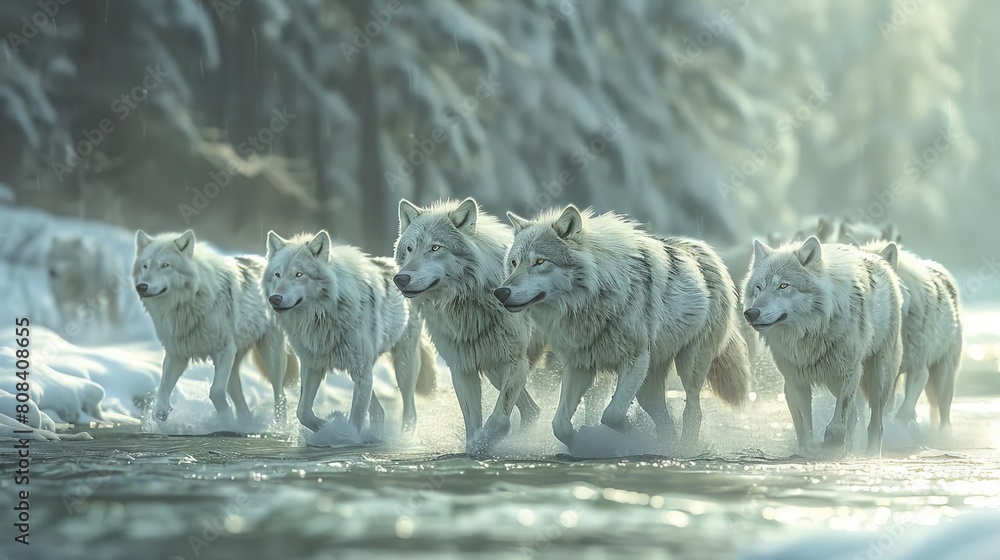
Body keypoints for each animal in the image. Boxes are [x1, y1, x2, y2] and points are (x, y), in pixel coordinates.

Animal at [133, 230, 297, 424]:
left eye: (165, 265)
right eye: (145, 266)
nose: (141, 287)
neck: (186, 304)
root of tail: (263, 261)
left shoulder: (224, 350)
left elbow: (216, 392)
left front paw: (225, 417)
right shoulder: (177, 353)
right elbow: (163, 389)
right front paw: (161, 412)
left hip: (271, 355)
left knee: (280, 396)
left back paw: (278, 426)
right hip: (235, 360)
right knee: (236, 393)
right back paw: (244, 423)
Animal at [263, 230, 437, 437]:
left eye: (299, 274)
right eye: (277, 275)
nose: (275, 299)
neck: (323, 316)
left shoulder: (361, 370)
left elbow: (355, 421)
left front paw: (342, 434)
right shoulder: (312, 364)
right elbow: (303, 412)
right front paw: (327, 427)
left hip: (403, 366)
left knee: (410, 410)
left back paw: (404, 438)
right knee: (379, 410)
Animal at [393, 198, 544, 453]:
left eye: (435, 248)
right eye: (410, 249)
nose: (400, 279)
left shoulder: (515, 361)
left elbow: (499, 421)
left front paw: (482, 445)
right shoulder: (463, 368)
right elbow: (473, 425)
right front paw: (474, 448)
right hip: (494, 371)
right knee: (533, 411)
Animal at [496, 205, 751, 450]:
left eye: (540, 261)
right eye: (514, 263)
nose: (501, 292)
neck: (592, 299)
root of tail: (707, 251)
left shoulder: (635, 359)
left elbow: (612, 414)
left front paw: (628, 429)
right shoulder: (580, 364)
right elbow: (560, 426)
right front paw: (580, 442)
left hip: (689, 364)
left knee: (693, 412)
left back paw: (684, 448)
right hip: (648, 384)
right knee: (662, 416)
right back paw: (664, 445)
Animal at [742, 237, 903, 456]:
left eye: (783, 285)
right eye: (758, 288)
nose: (750, 313)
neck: (809, 333)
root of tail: (881, 261)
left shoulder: (850, 371)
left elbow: (838, 422)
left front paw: (831, 441)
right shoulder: (794, 380)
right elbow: (804, 426)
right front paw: (810, 449)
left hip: (877, 377)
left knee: (876, 422)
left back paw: (870, 453)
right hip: (834, 382)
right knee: (854, 415)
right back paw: (847, 453)